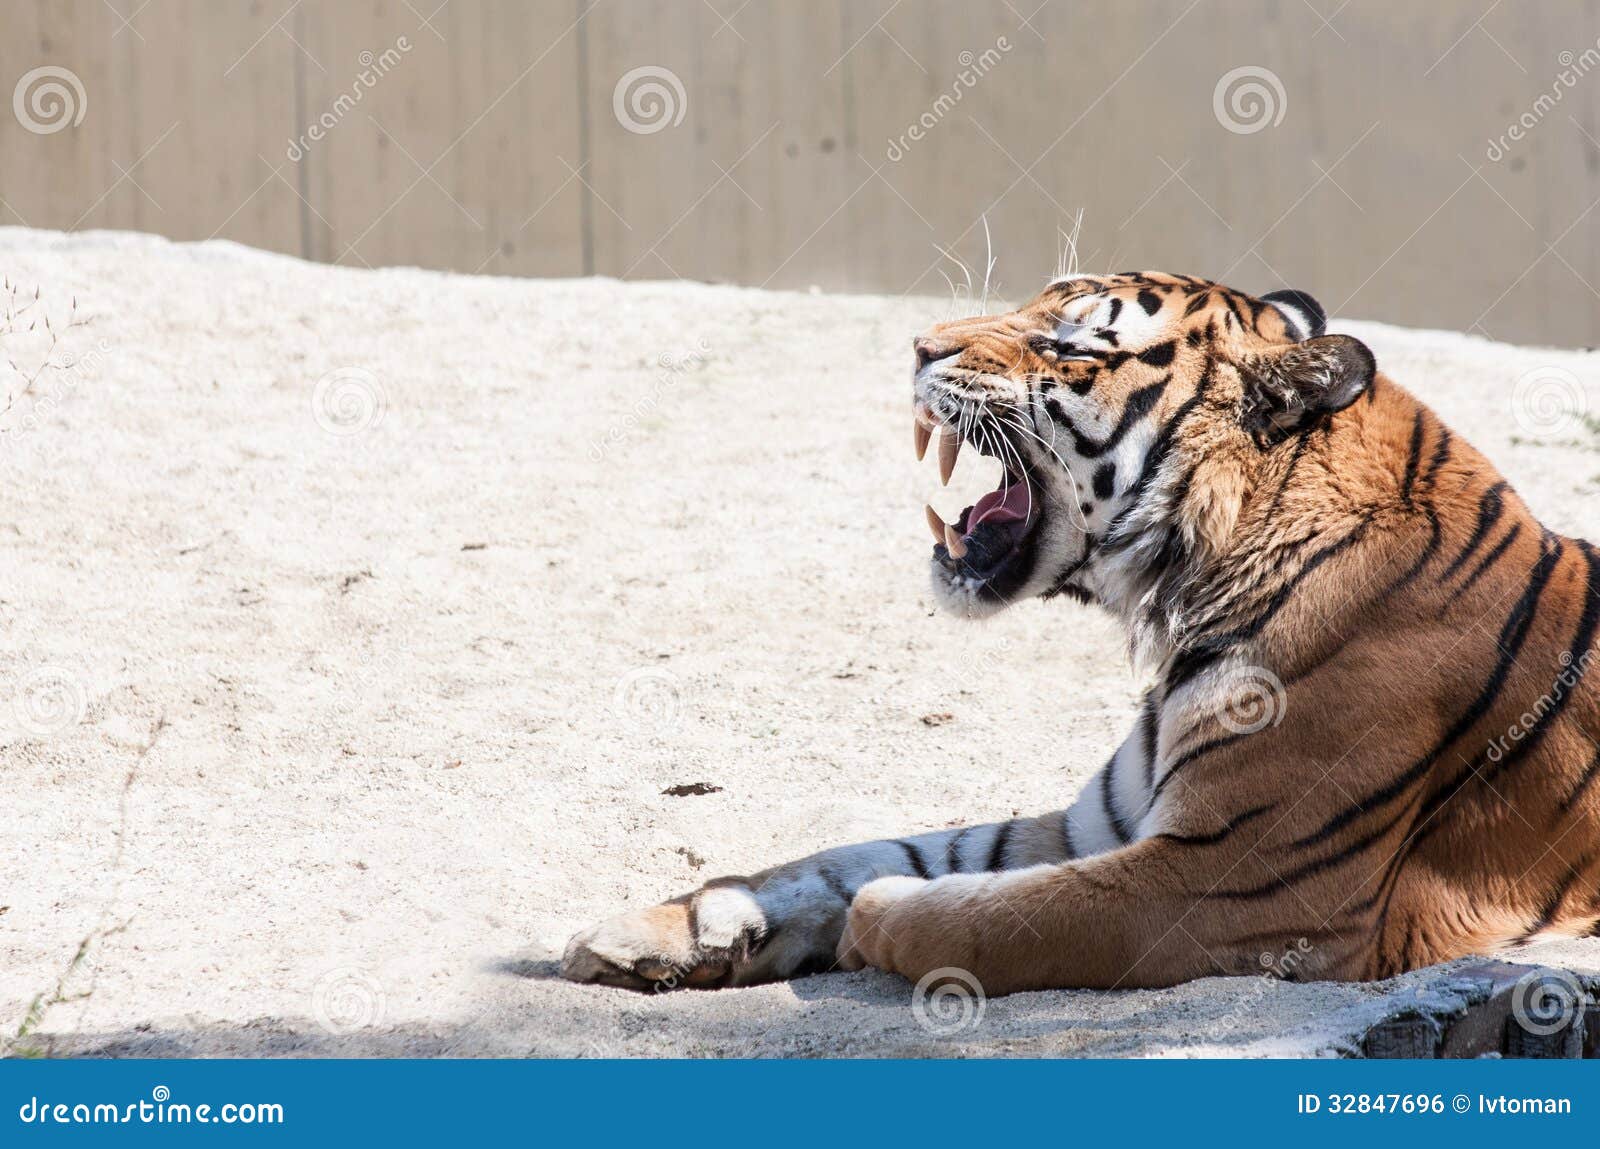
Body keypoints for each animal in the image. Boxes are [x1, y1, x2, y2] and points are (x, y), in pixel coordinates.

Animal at [562, 271, 1600, 996]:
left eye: (1069, 344)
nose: (917, 345)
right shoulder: (1098, 821)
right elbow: (864, 854)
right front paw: (661, 928)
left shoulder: (1231, 880)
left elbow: (985, 914)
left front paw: (875, 921)